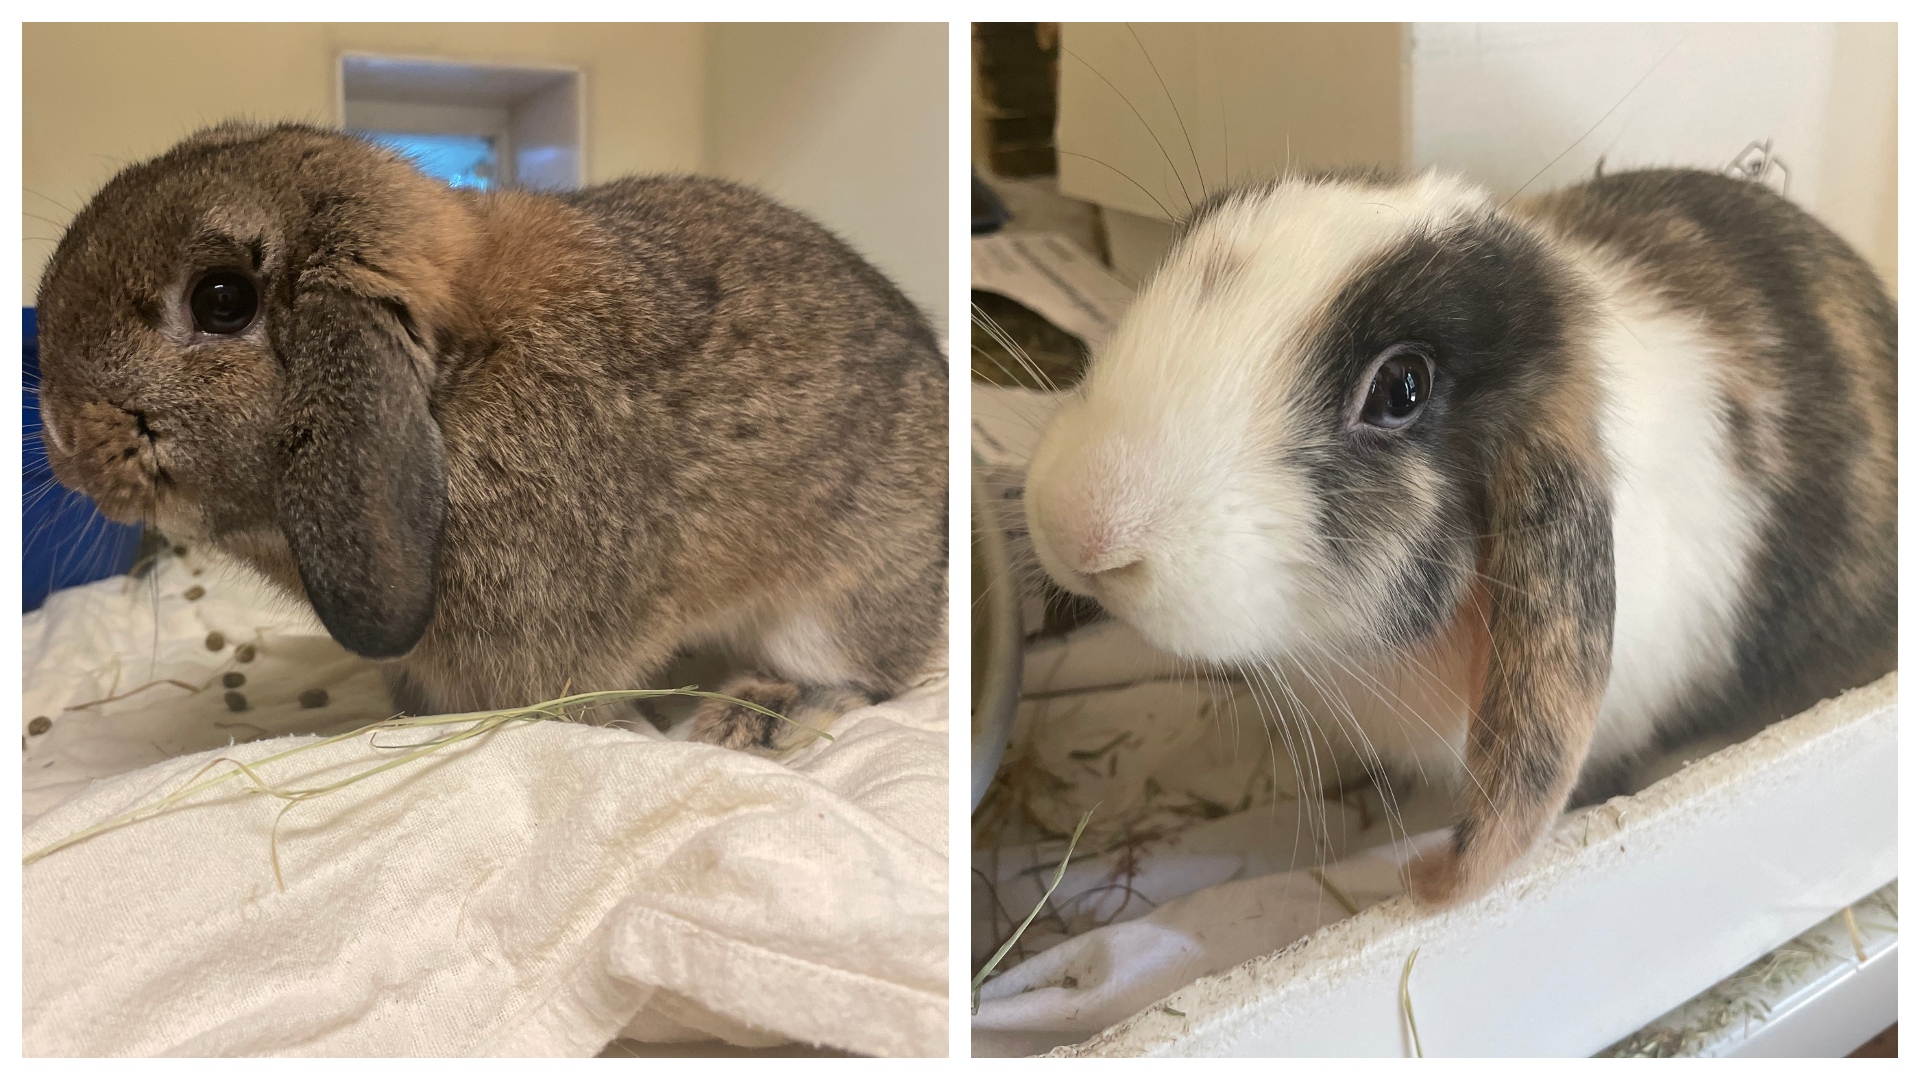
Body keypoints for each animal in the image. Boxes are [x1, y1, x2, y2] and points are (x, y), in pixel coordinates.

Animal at [33, 121, 947, 752]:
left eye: (222, 300)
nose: (61, 437)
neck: (450, 388)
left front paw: (638, 734)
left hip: (831, 601)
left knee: (856, 678)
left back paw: (743, 719)